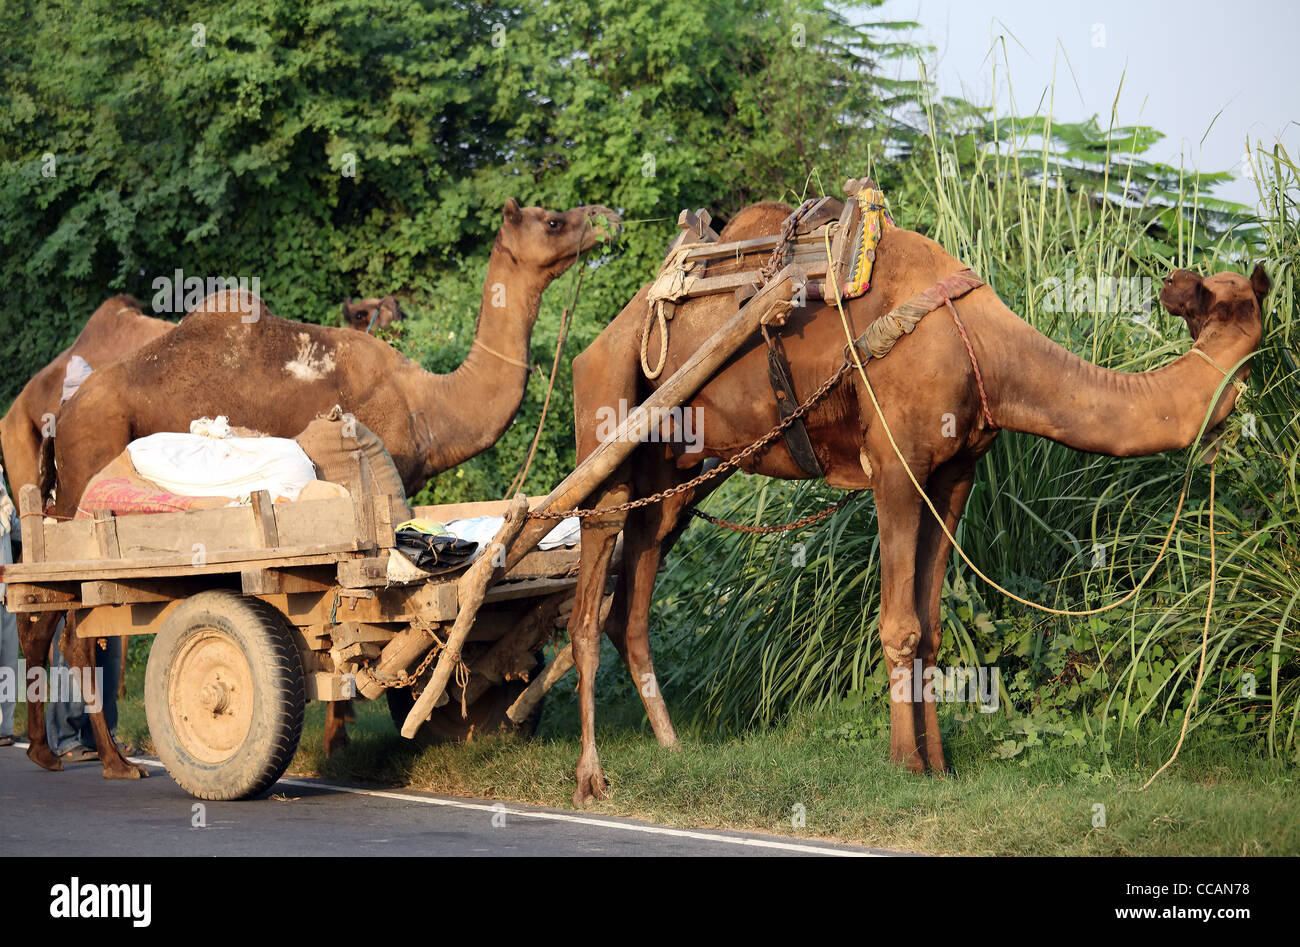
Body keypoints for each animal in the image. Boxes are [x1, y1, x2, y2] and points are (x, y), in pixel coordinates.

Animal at [14, 199, 619, 780]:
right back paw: (114, 763)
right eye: (553, 220)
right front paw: (336, 743)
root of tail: (60, 417)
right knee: (73, 632)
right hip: (82, 498)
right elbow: (348, 631)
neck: (427, 408)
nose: (606, 217)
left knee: (44, 619)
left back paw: (47, 753)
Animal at [560, 203, 1267, 804]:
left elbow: (930, 626)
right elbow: (899, 625)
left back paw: (672, 748)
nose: (1243, 421)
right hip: (608, 410)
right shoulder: (897, 463)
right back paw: (592, 777)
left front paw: (939, 765)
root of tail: (617, 324)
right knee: (590, 578)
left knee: (635, 589)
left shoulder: (953, 475)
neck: (986, 351)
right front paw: (905, 764)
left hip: (677, 466)